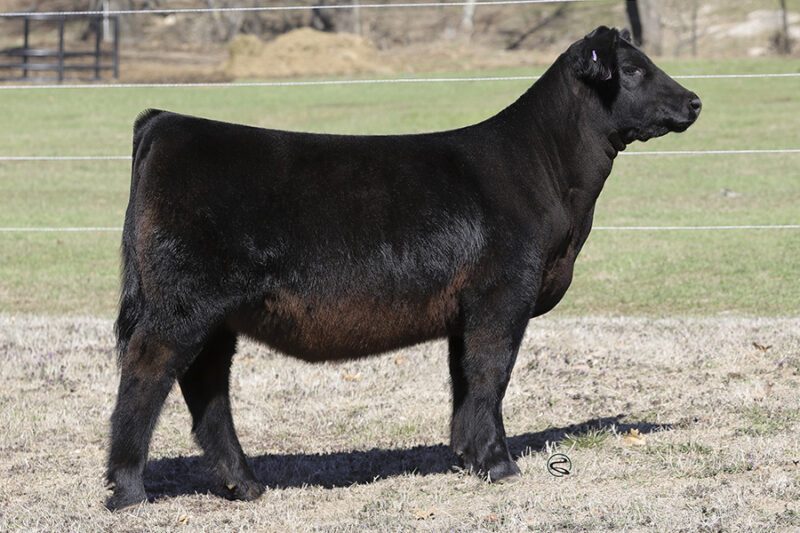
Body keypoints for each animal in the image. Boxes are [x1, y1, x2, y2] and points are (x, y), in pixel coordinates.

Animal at [106, 26, 701, 510]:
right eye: (632, 70)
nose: (695, 102)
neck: (551, 181)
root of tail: (166, 121)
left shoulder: (465, 307)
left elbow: (464, 377)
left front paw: (467, 458)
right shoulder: (504, 292)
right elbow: (492, 372)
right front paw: (500, 463)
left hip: (216, 316)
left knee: (206, 386)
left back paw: (245, 485)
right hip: (183, 304)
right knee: (146, 374)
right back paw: (129, 492)